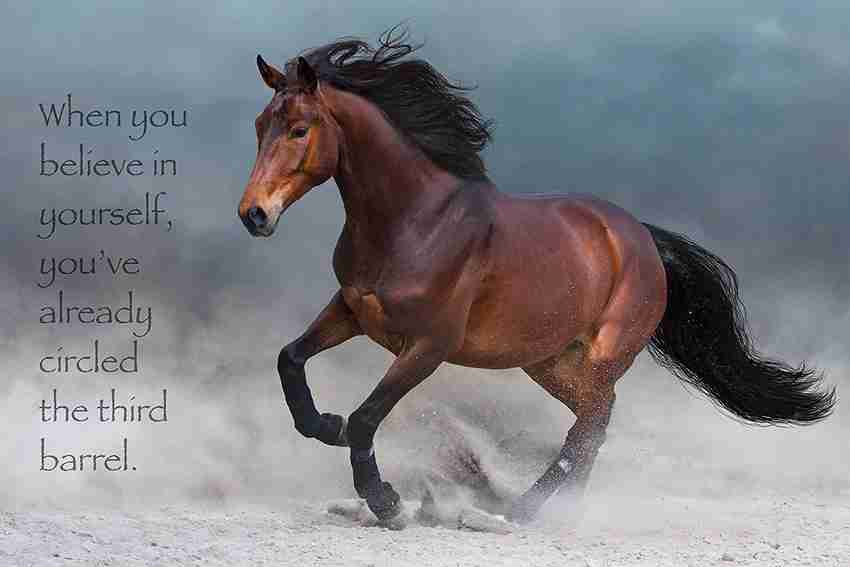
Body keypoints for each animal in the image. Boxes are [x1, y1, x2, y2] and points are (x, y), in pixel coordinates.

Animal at [237, 29, 835, 525]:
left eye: (299, 129)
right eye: (260, 126)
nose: (254, 215)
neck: (416, 221)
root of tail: (641, 237)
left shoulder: (428, 345)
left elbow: (366, 418)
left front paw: (386, 502)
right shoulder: (352, 310)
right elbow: (290, 360)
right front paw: (325, 424)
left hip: (601, 355)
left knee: (591, 424)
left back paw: (528, 510)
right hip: (551, 361)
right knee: (593, 422)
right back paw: (544, 507)